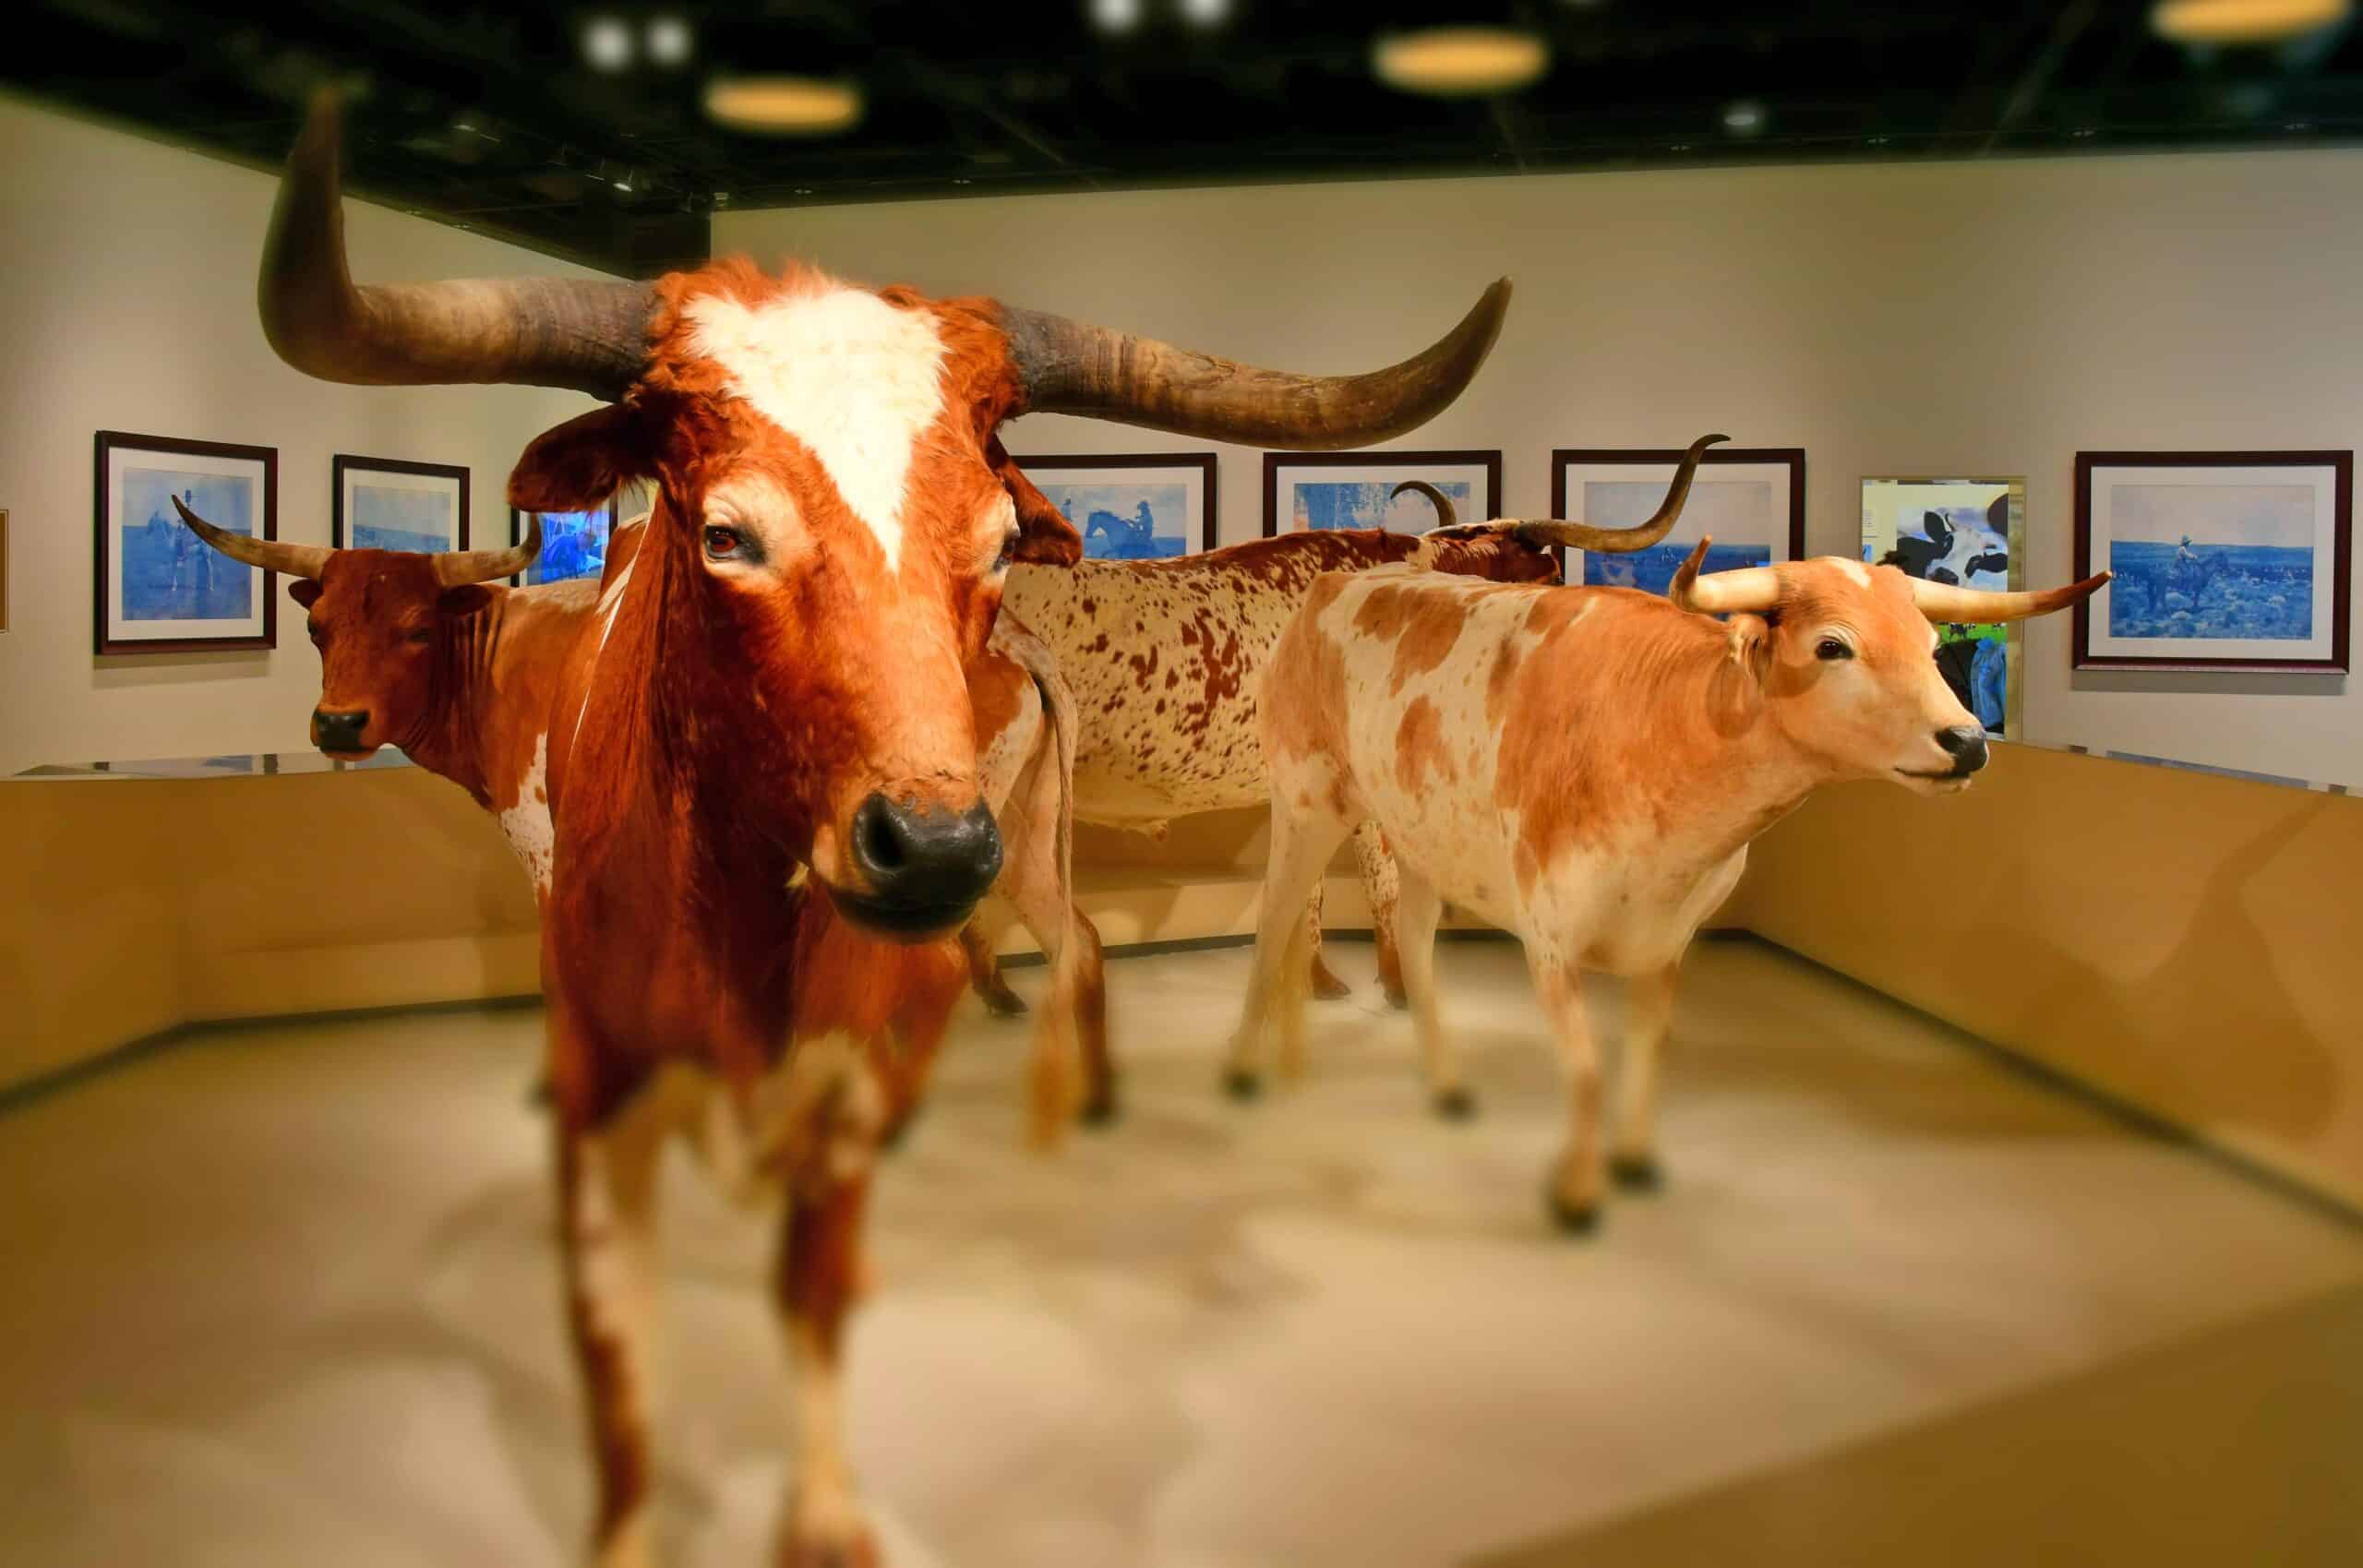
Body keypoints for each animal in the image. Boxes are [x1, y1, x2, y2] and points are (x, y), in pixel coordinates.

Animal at [245, 91, 1509, 1568]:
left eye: (999, 540)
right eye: (724, 533)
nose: (932, 845)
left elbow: (814, 1287)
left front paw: (825, 1517)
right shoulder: (605, 1073)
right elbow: (616, 1340)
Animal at [1229, 449, 2106, 1232]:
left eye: (1929, 647)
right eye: (1833, 645)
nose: (1968, 741)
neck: (1663, 728)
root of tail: (1337, 583)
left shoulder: (1668, 939)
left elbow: (1648, 1051)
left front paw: (1635, 1160)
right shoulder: (1550, 936)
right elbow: (1586, 1070)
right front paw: (1577, 1195)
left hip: (1418, 830)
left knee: (1411, 938)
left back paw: (1444, 1083)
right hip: (1307, 801)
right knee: (1275, 919)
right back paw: (1243, 1070)